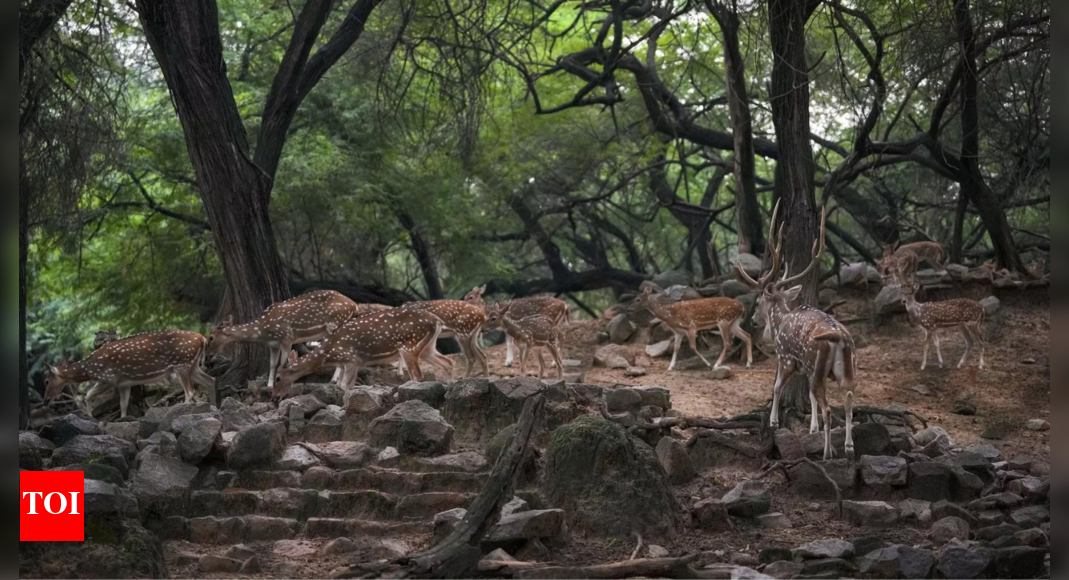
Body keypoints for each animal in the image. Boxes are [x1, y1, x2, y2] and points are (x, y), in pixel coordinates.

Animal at [45, 330, 215, 418]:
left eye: (46, 381)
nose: (47, 400)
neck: (88, 369)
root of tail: (203, 338)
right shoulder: (124, 384)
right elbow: (123, 405)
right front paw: (122, 419)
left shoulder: (108, 378)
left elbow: (87, 395)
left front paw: (90, 416)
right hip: (193, 366)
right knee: (211, 380)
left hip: (182, 364)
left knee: (190, 390)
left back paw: (180, 408)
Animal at [206, 290, 360, 389]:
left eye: (211, 337)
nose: (208, 357)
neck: (263, 330)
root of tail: (355, 306)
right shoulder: (273, 344)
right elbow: (272, 364)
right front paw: (269, 385)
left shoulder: (287, 337)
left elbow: (283, 362)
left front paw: (277, 382)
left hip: (335, 322)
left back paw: (333, 381)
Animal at [272, 308, 448, 399]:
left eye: (278, 378)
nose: (274, 397)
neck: (329, 354)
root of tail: (438, 321)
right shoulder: (352, 363)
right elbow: (346, 385)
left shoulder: (352, 358)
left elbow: (344, 385)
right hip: (428, 347)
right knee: (447, 362)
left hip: (408, 345)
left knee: (417, 375)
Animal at [737, 203, 858, 461]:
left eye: (759, 301)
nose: (753, 319)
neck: (780, 321)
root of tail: (840, 338)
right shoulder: (804, 367)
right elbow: (809, 398)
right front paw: (812, 429)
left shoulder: (786, 358)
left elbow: (776, 386)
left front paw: (773, 422)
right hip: (845, 368)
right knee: (848, 400)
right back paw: (848, 447)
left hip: (817, 365)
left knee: (829, 408)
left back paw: (827, 453)